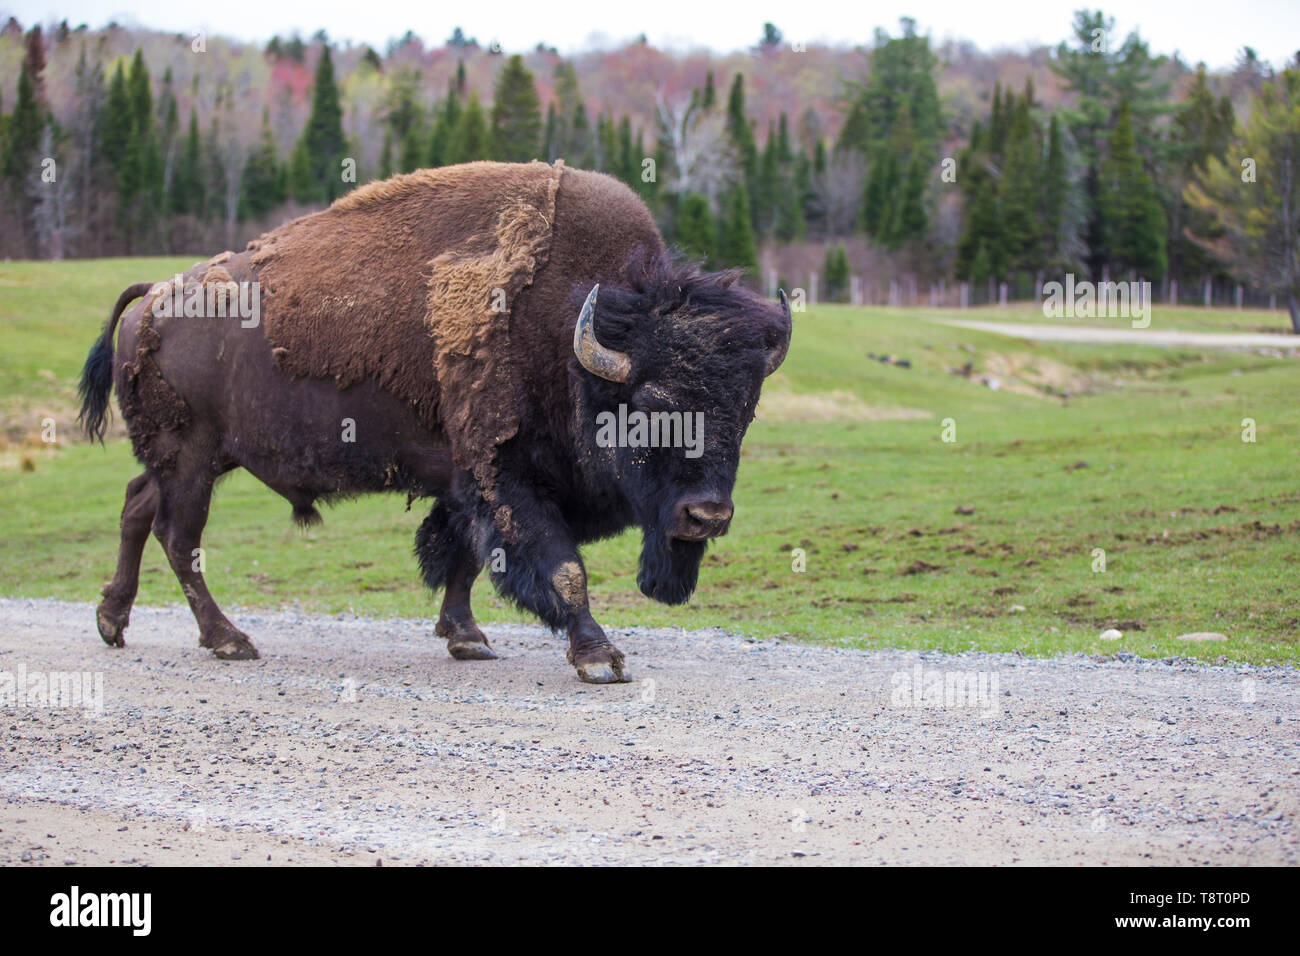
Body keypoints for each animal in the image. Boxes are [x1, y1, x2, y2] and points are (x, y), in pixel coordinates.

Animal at [78, 160, 792, 683]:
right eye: (650, 404)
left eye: (744, 410)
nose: (707, 515)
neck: (571, 340)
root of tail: (152, 296)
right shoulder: (505, 479)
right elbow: (561, 567)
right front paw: (599, 658)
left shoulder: (466, 483)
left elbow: (464, 557)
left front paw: (466, 637)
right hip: (190, 458)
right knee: (178, 537)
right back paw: (229, 640)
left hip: (193, 458)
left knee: (137, 506)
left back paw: (114, 622)